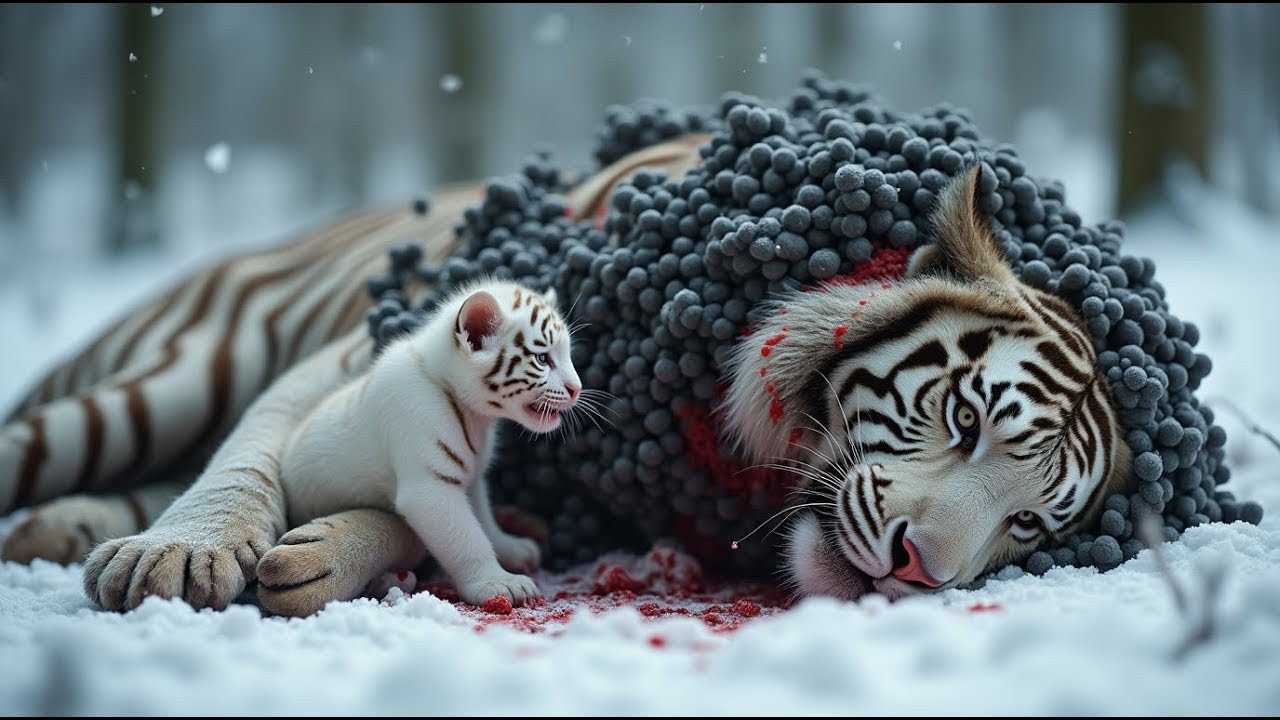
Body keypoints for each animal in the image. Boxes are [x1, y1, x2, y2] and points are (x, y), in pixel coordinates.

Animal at [0, 135, 1130, 614]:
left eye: (1029, 523)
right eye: (964, 419)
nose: (915, 571)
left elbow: (438, 511)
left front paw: (333, 550)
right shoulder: (355, 356)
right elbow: (259, 453)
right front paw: (187, 555)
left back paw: (62, 528)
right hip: (155, 388)